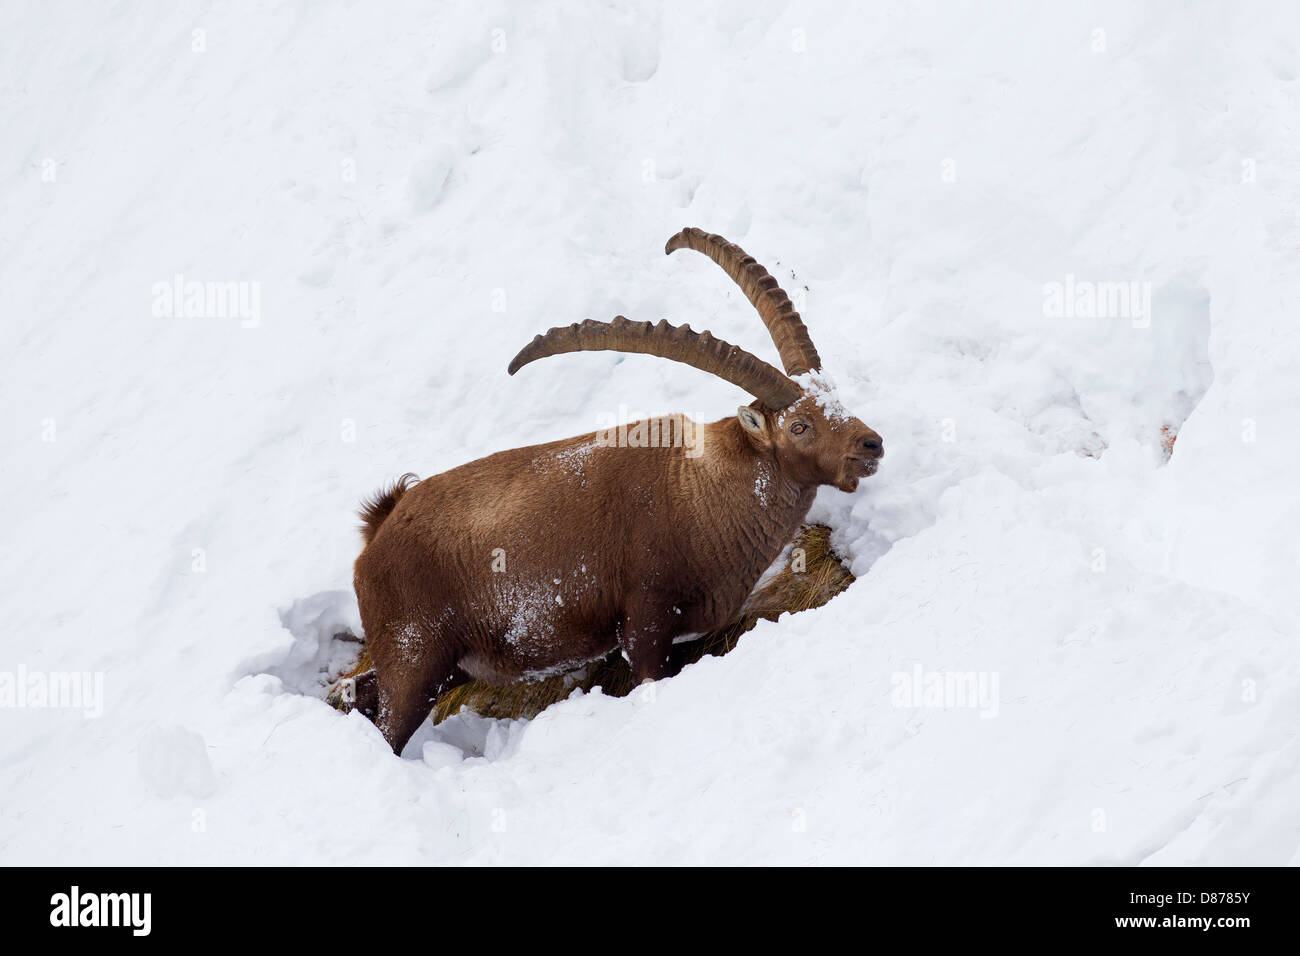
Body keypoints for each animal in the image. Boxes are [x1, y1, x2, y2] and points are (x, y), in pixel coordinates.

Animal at [352, 228, 884, 753]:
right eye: (798, 426)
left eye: (834, 397)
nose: (871, 444)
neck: (701, 493)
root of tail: (378, 532)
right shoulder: (645, 620)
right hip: (414, 656)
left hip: (435, 666)